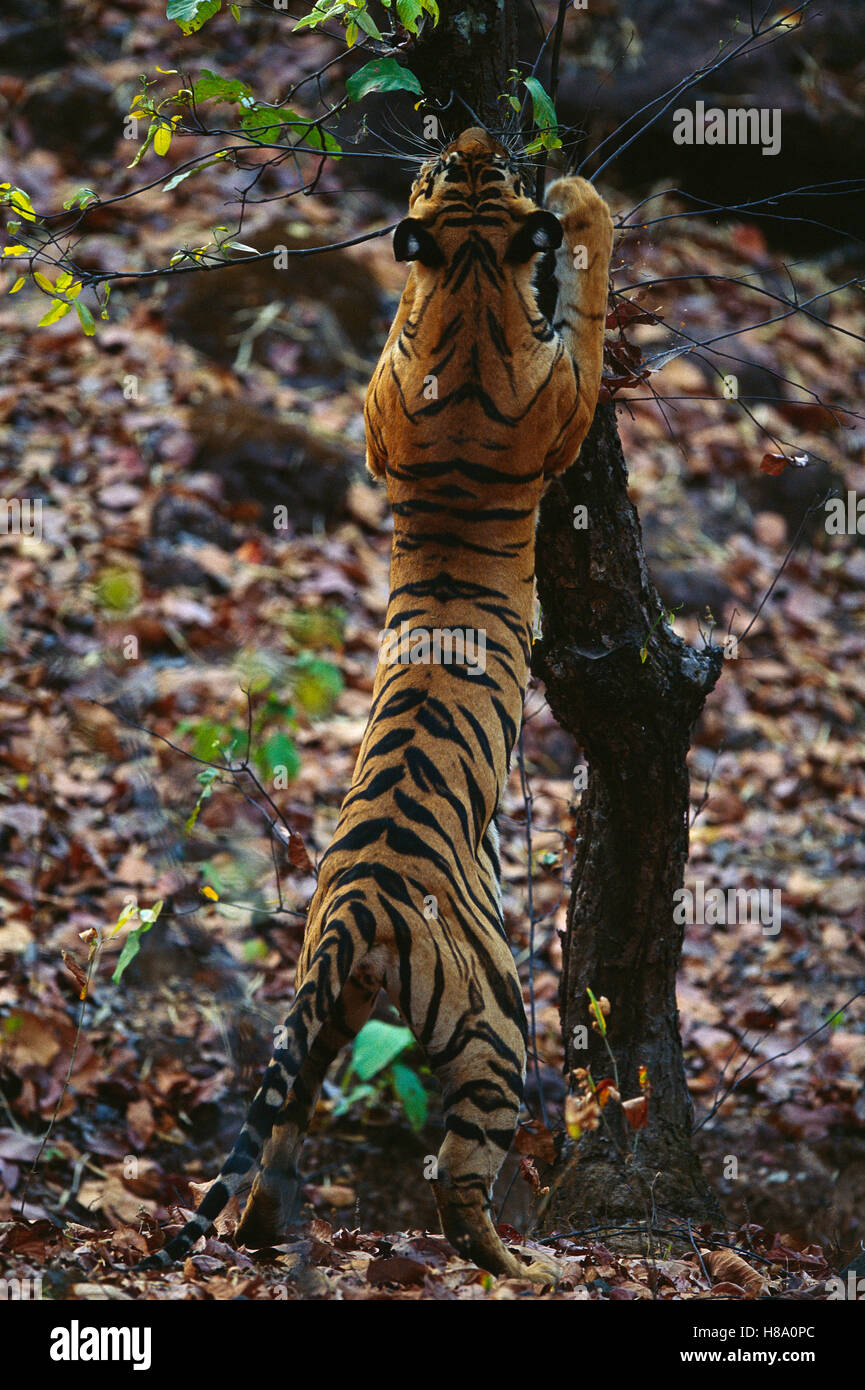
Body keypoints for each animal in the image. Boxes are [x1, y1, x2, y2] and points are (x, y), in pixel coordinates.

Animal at [139, 126, 613, 1283]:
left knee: (282, 1130)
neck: (473, 290)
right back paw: (520, 1268)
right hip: (494, 1025)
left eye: (447, 170)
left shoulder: (379, 412)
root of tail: (355, 911)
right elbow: (588, 297)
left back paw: (267, 1236)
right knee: (458, 1178)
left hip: (324, 1013)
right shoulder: (566, 398)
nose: (473, 132)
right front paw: (583, 204)